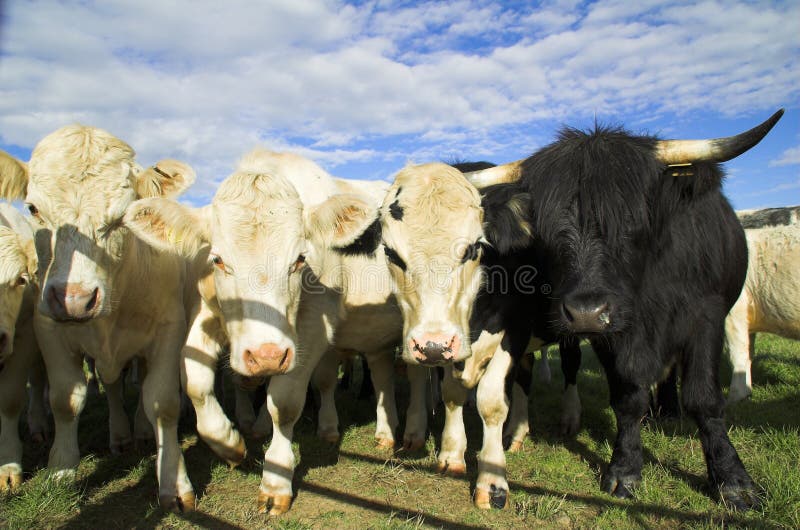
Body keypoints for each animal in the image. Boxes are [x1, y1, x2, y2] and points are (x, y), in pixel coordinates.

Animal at [0, 125, 201, 511]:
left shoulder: (169, 332)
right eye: (33, 208)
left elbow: (162, 402)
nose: (74, 300)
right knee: (110, 387)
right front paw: (61, 469)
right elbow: (65, 400)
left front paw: (173, 480)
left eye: (123, 215)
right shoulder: (47, 330)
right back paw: (121, 434)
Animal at [124, 149, 430, 515]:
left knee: (416, 376)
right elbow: (196, 385)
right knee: (381, 372)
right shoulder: (204, 313)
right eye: (218, 260)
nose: (266, 355)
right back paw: (385, 431)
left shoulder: (313, 328)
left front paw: (275, 481)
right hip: (378, 338)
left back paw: (414, 431)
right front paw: (230, 443)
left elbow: (284, 402)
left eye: (299, 259)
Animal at [458, 109, 784, 510]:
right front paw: (626, 469)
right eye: (544, 229)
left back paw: (664, 412)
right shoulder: (606, 335)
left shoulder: (706, 316)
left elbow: (705, 398)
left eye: (633, 219)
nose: (585, 311)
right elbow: (627, 397)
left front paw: (733, 480)